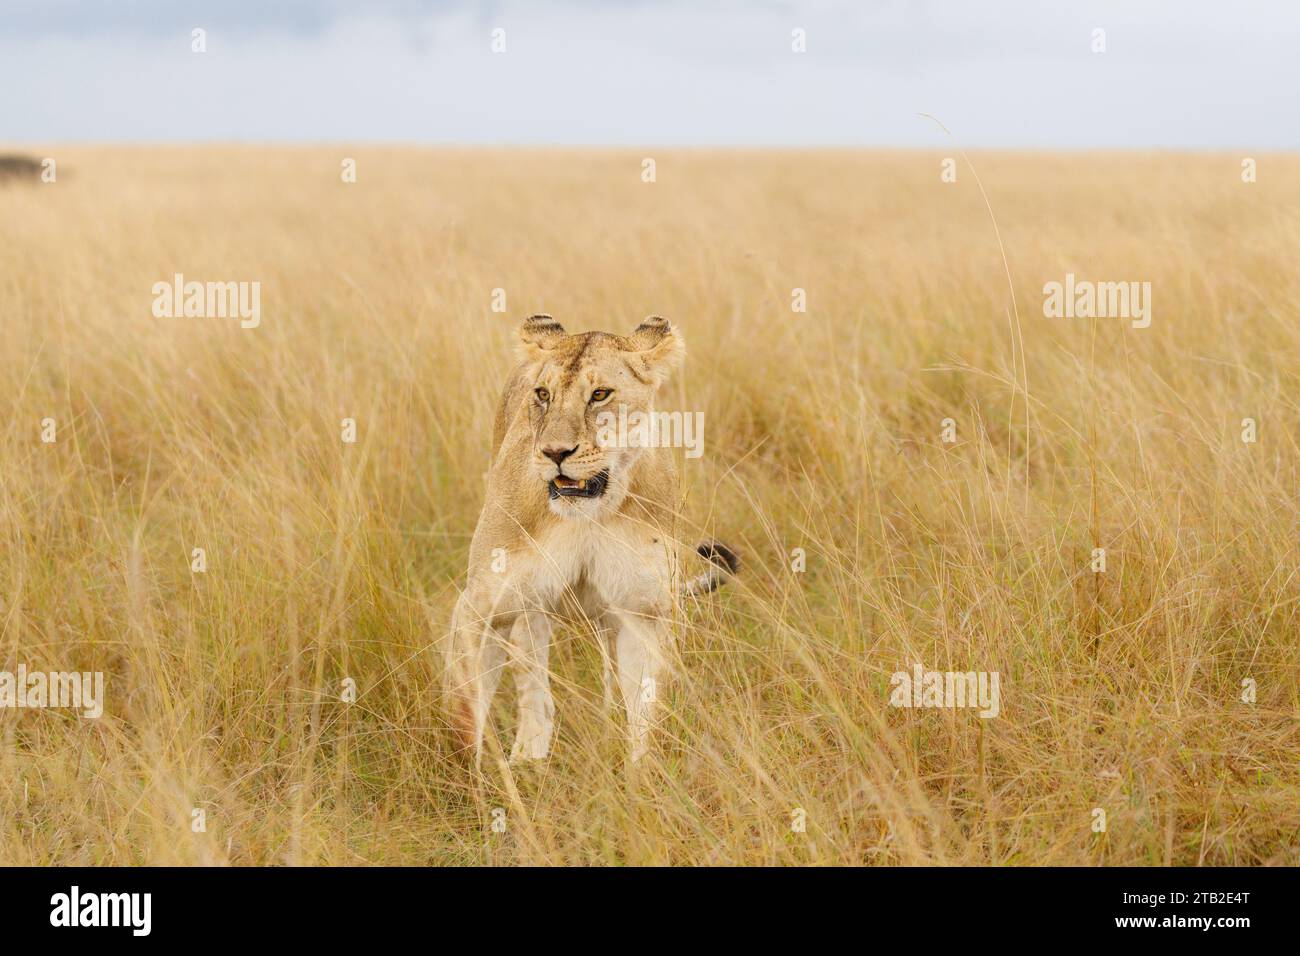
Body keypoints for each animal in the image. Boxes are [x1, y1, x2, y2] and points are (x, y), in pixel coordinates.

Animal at [445, 314, 738, 764]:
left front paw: (642, 776)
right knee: (533, 678)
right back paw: (530, 753)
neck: (588, 515)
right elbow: (467, 720)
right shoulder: (480, 607)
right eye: (543, 394)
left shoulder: (642, 611)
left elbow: (644, 715)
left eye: (599, 394)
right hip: (529, 606)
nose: (554, 452)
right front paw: (479, 778)